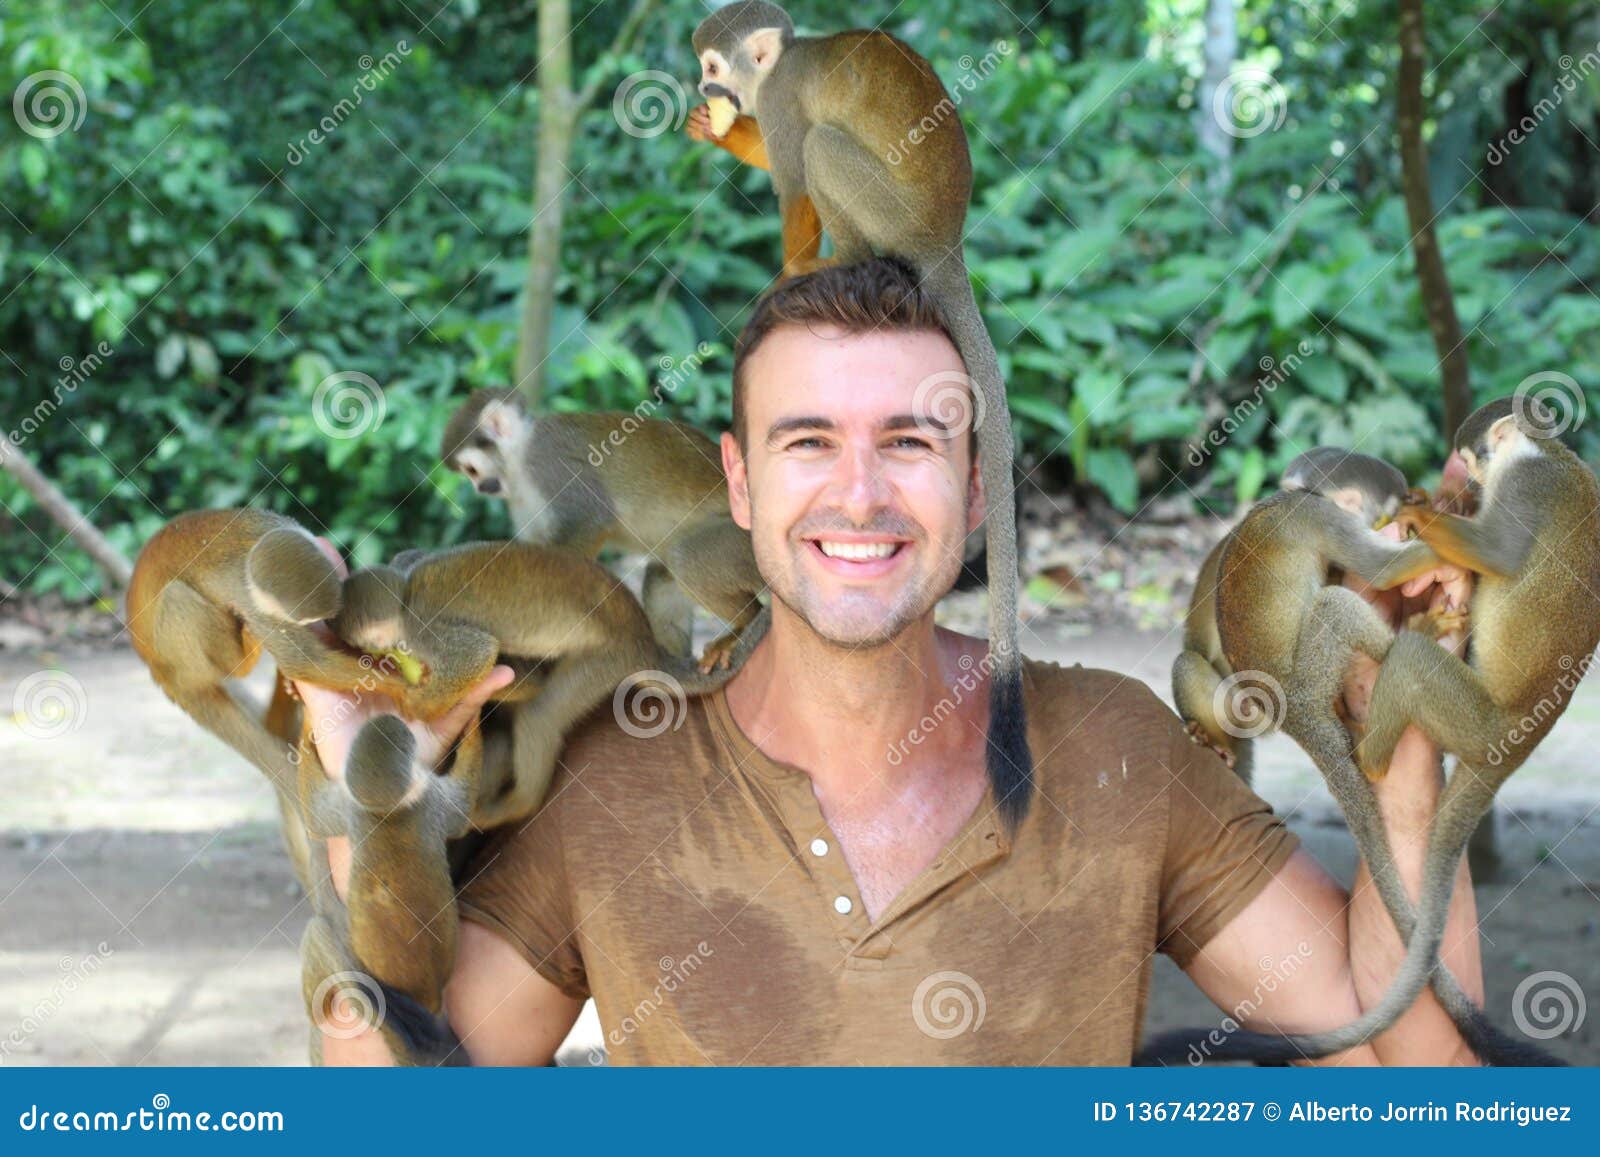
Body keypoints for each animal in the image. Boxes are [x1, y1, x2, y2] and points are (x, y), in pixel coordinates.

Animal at [441, 388, 767, 670]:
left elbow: (592, 518)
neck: (519, 458)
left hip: (744, 544)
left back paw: (744, 622)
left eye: (471, 471)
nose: (480, 488)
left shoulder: (548, 463)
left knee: (684, 557)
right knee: (660, 574)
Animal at [688, 1, 1032, 830]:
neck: (780, 66)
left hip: (891, 212)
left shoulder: (782, 98)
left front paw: (788, 269)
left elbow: (793, 186)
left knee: (822, 148)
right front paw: (718, 132)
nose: (704, 88)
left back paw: (836, 260)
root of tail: (945, 242)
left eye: (715, 66)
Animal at [1141, 402, 1595, 1065]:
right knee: (1341, 613)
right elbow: (1410, 564)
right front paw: (1421, 519)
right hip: (1322, 687)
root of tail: (1297, 711)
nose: (1467, 477)